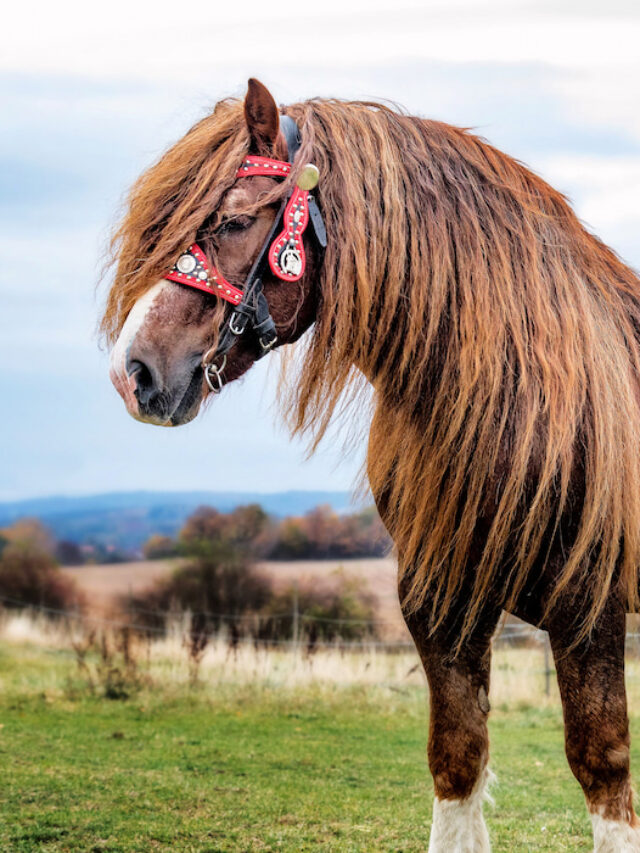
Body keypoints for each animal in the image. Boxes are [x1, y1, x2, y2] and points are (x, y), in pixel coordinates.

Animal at [103, 78, 640, 851]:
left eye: (234, 221)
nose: (133, 372)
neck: (516, 397)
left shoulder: (587, 606)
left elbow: (602, 763)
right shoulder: (440, 602)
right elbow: (457, 758)